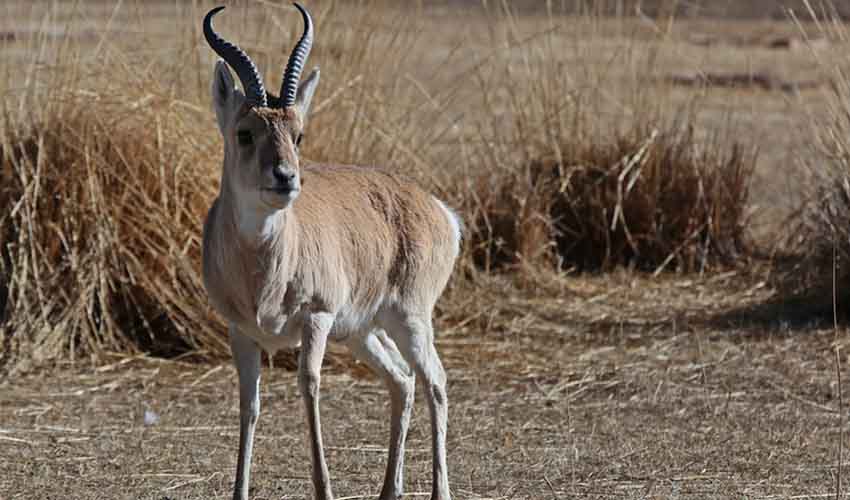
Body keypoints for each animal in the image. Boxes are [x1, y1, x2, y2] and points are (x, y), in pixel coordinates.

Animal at [200, 4, 461, 500]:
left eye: (298, 134)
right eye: (244, 133)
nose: (286, 177)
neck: (262, 269)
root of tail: (437, 208)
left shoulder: (316, 318)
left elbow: (309, 386)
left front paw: (325, 489)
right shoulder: (240, 331)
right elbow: (249, 404)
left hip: (409, 319)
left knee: (435, 382)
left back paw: (439, 491)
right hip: (363, 330)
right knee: (402, 381)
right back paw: (389, 490)